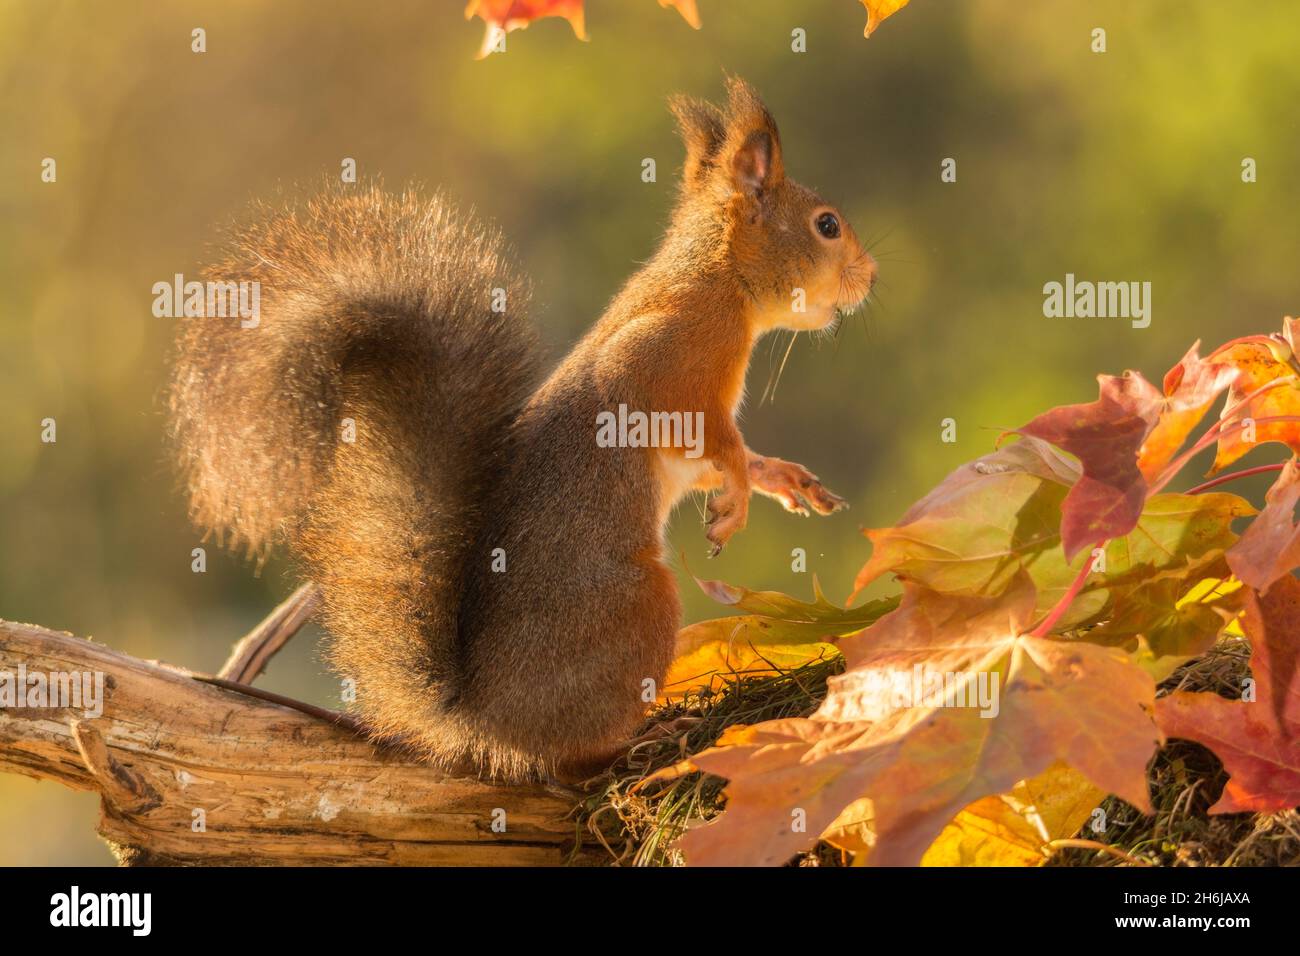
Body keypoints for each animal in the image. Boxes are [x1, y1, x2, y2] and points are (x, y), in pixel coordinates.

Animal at [168, 77, 876, 782]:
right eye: (827, 225)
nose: (870, 277)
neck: (720, 279)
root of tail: (480, 723)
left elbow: (730, 456)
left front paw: (783, 479)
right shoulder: (661, 360)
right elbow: (711, 439)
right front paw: (734, 500)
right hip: (637, 605)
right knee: (573, 757)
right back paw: (649, 732)